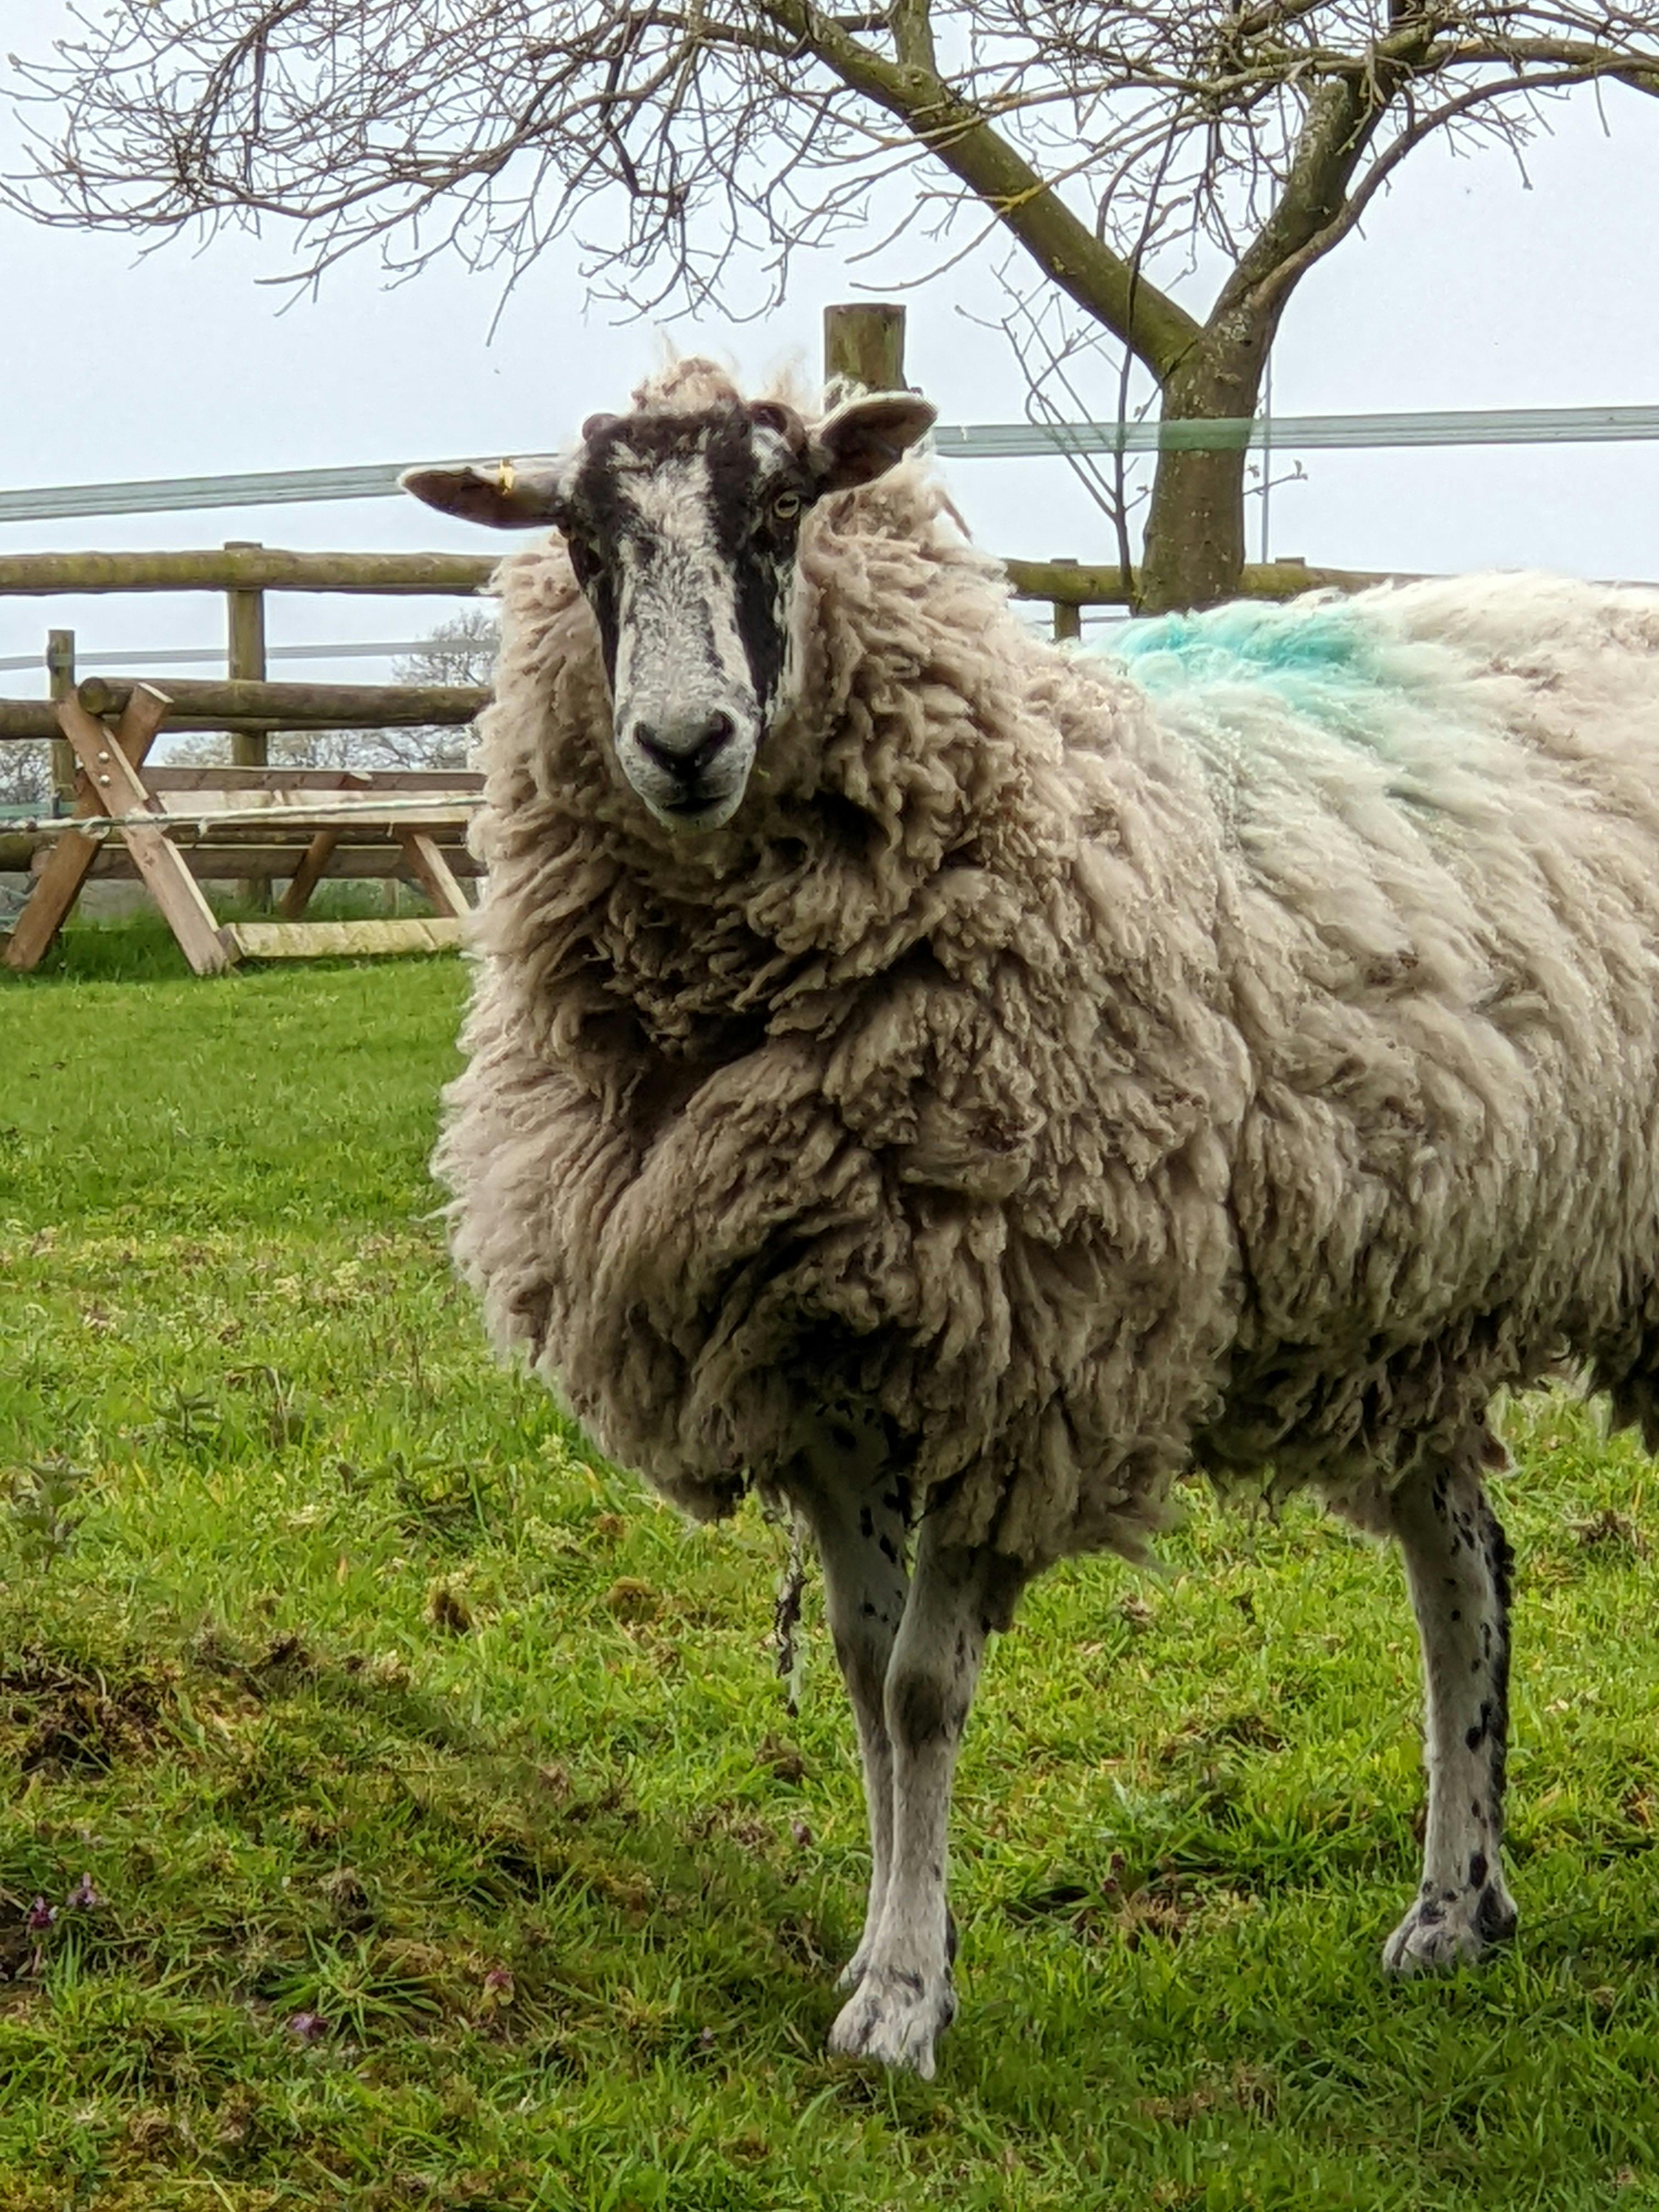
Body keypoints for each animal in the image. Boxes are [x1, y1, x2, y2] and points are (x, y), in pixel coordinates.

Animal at [403, 360, 1659, 2079]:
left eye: (784, 509)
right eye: (584, 543)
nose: (681, 742)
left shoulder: (1025, 1366)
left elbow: (927, 1692)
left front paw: (901, 2006)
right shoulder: (818, 1361)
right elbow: (863, 1680)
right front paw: (890, 1954)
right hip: (1404, 1301)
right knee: (1466, 1573)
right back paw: (1458, 1910)